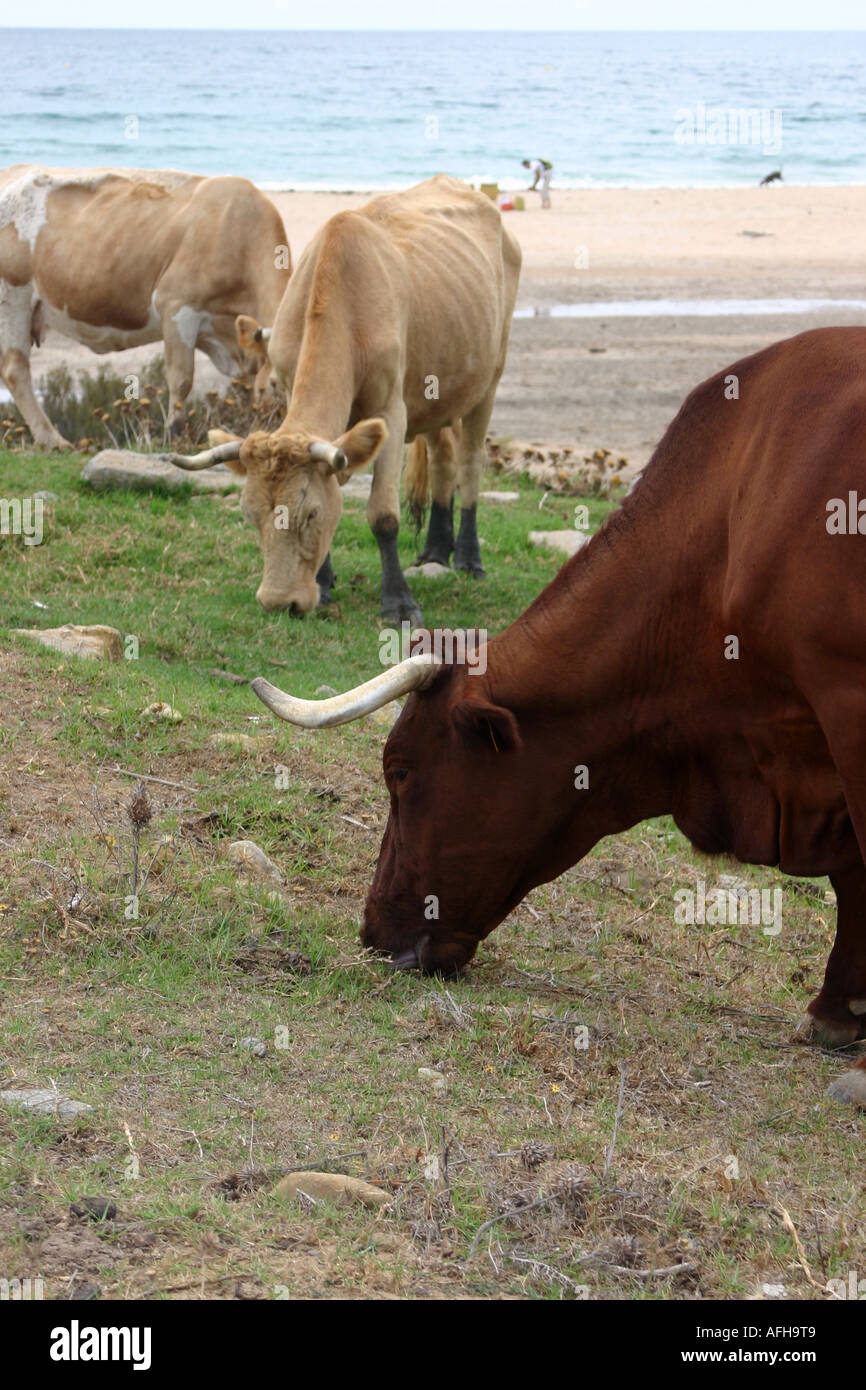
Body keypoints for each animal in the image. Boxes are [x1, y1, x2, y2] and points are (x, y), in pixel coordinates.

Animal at [0, 165, 290, 449]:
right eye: (275, 384)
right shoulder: (177, 305)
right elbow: (181, 378)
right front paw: (174, 434)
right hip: (13, 300)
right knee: (15, 371)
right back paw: (53, 440)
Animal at [169, 175, 522, 623]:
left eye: (310, 514)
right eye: (250, 515)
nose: (278, 602)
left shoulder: (392, 409)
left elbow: (384, 514)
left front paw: (399, 602)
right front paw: (324, 583)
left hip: (489, 379)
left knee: (471, 463)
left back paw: (468, 559)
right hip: (438, 389)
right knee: (443, 457)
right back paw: (434, 551)